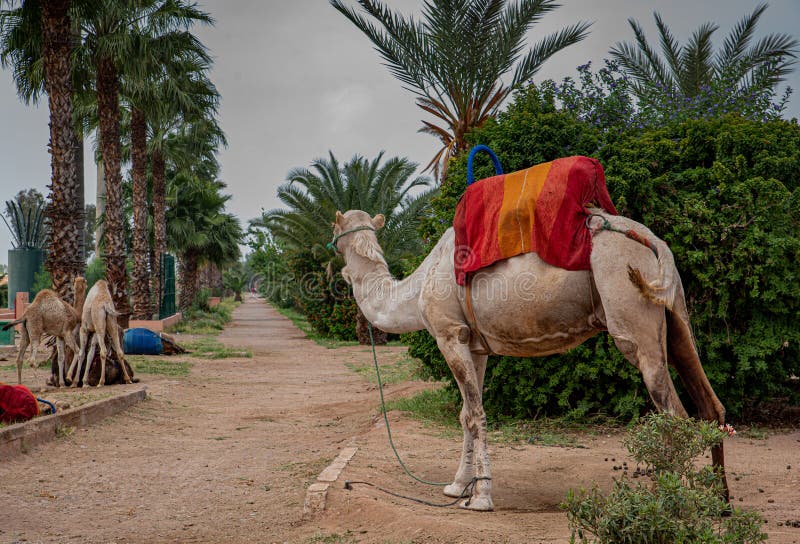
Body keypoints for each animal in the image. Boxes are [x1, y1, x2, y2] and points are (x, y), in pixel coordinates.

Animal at [332, 209, 728, 511]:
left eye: (335, 232)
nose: (337, 269)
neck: (416, 290)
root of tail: (654, 242)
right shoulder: (474, 345)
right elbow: (465, 414)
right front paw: (457, 487)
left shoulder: (449, 334)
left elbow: (475, 415)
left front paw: (480, 497)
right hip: (675, 315)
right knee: (711, 405)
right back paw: (719, 503)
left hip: (631, 315)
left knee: (674, 414)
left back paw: (669, 501)